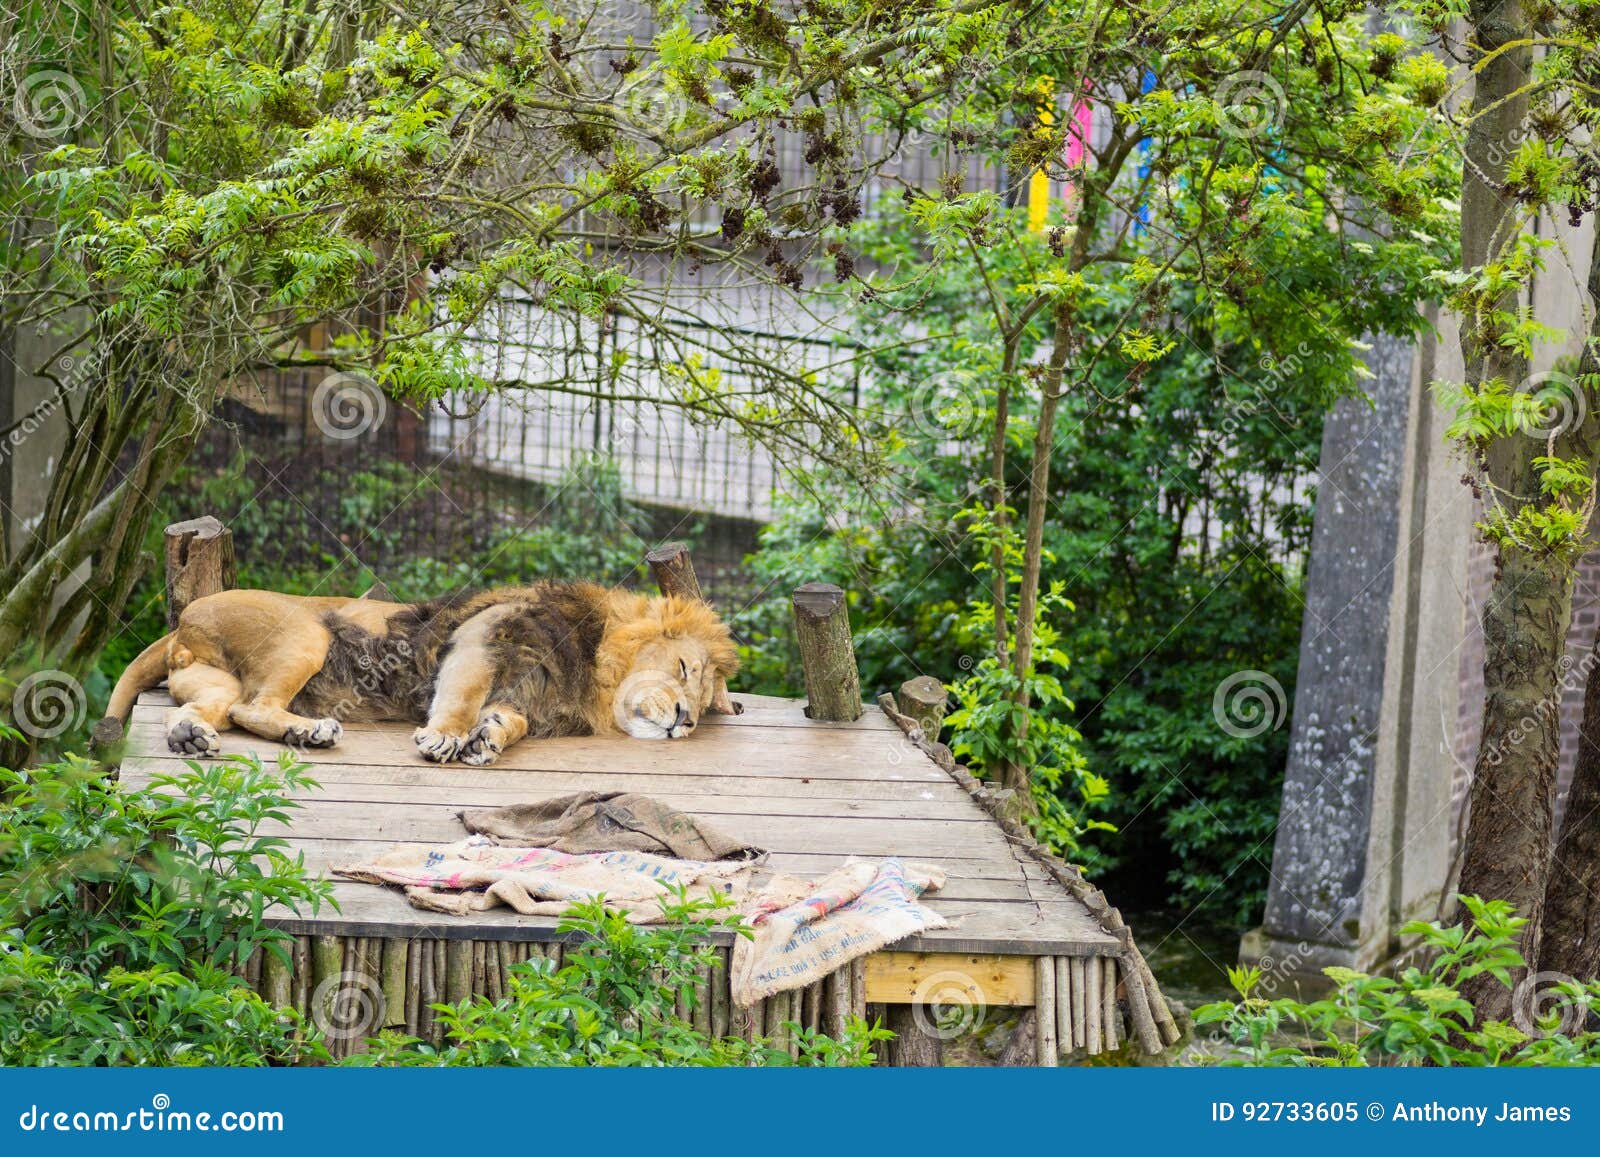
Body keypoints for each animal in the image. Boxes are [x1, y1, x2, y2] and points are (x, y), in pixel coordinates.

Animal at [104, 582, 740, 766]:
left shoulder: (527, 696)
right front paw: (446, 737)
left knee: (216, 707)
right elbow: (460, 695)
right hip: (307, 634)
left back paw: (194, 736)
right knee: (249, 706)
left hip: (208, 679)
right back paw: (309, 730)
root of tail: (186, 617)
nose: (684, 719)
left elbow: (509, 720)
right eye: (684, 666)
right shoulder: (485, 634)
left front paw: (489, 739)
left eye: (704, 699)